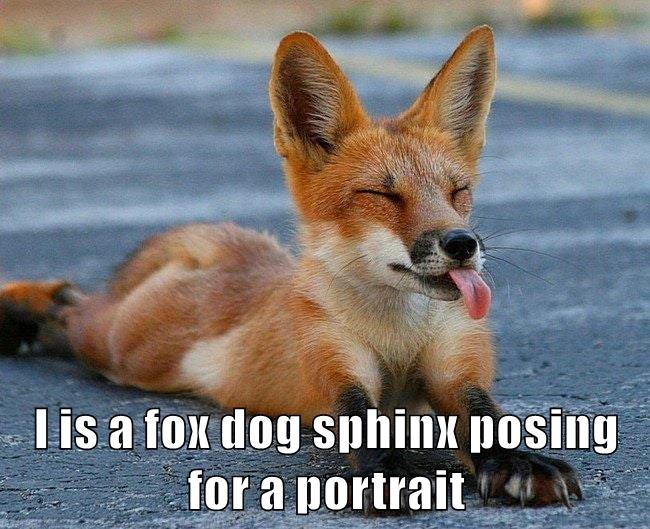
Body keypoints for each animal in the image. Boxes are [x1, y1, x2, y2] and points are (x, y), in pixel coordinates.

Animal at [0, 26, 582, 514]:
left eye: (457, 192)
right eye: (382, 195)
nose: (463, 244)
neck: (397, 335)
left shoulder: (454, 366)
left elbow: (487, 419)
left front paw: (520, 462)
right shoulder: (335, 365)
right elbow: (364, 421)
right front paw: (390, 475)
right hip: (124, 351)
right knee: (73, 304)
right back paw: (23, 312)